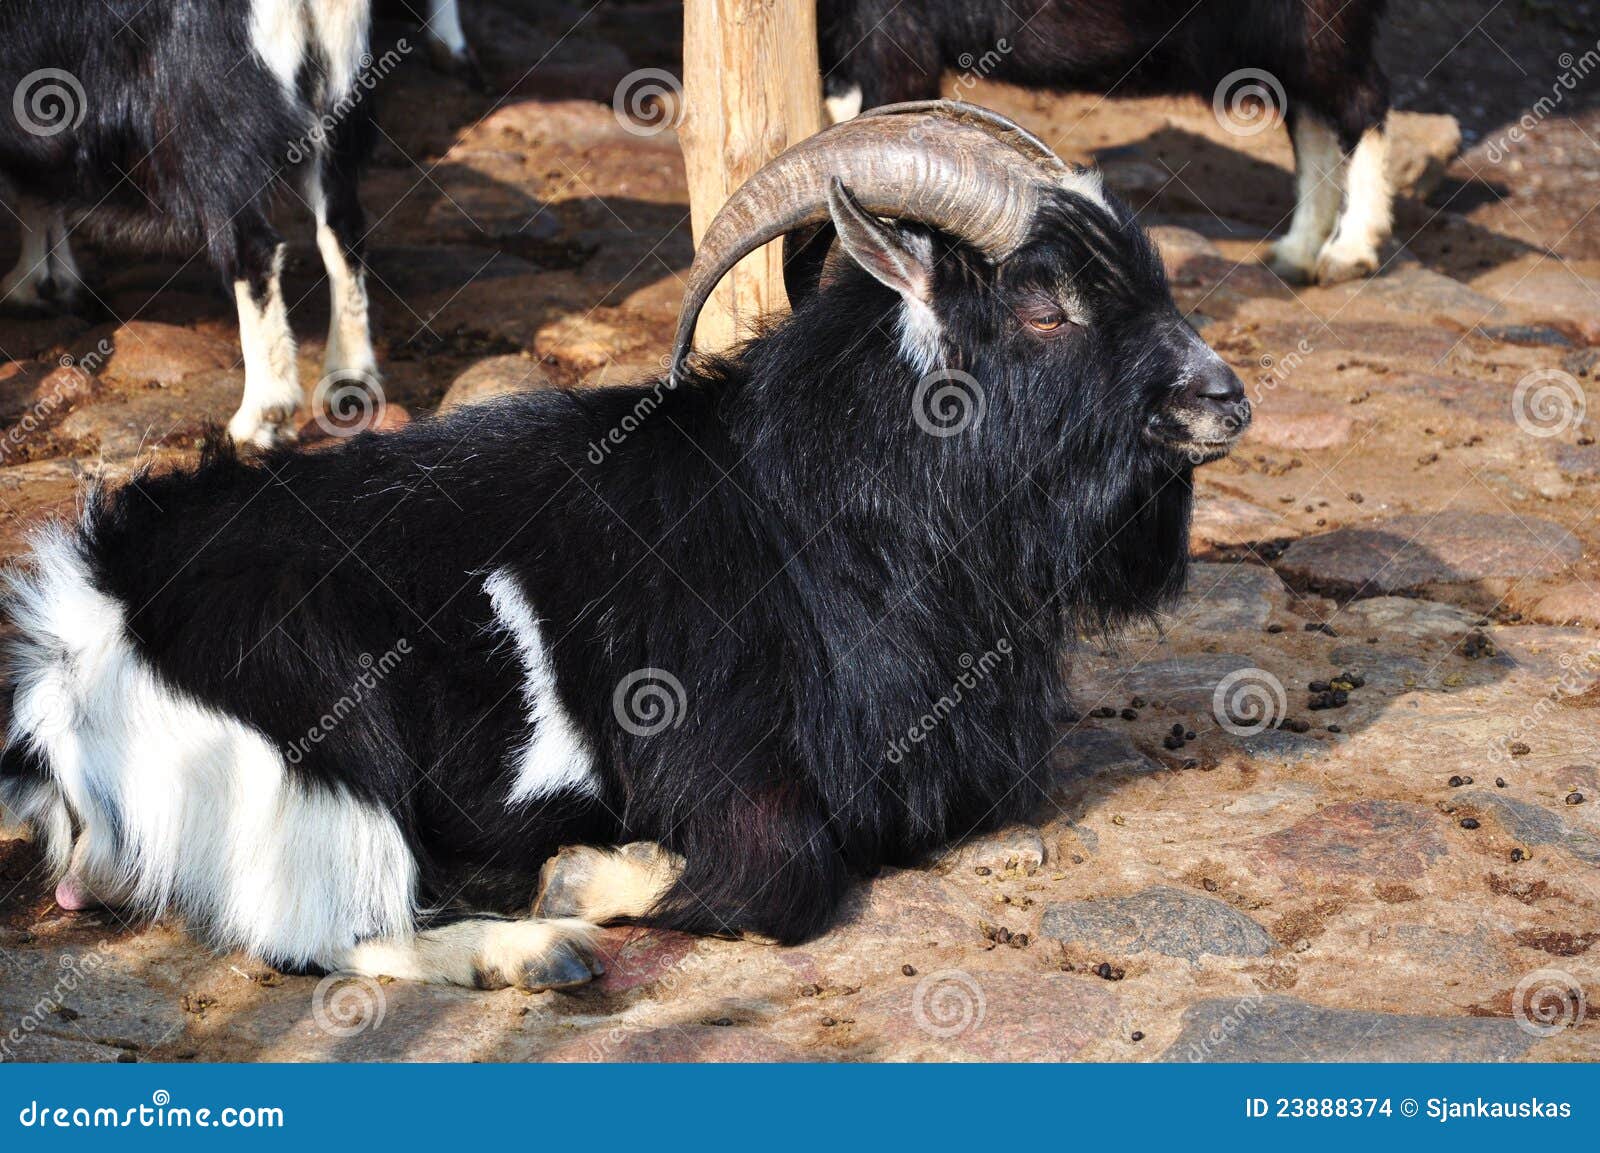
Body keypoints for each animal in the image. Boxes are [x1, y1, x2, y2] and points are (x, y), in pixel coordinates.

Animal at [0, 0, 383, 448]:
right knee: (343, 229)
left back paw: (260, 418)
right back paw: (348, 379)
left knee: (252, 249)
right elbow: (37, 185)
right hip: (336, 104)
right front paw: (39, 283)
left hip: (209, 119)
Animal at [0, 102, 1248, 989]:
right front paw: (586, 875)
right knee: (322, 931)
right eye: (1044, 305)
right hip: (317, 734)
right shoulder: (725, 766)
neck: (808, 510)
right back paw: (530, 945)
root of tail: (82, 625)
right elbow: (781, 881)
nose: (1224, 400)